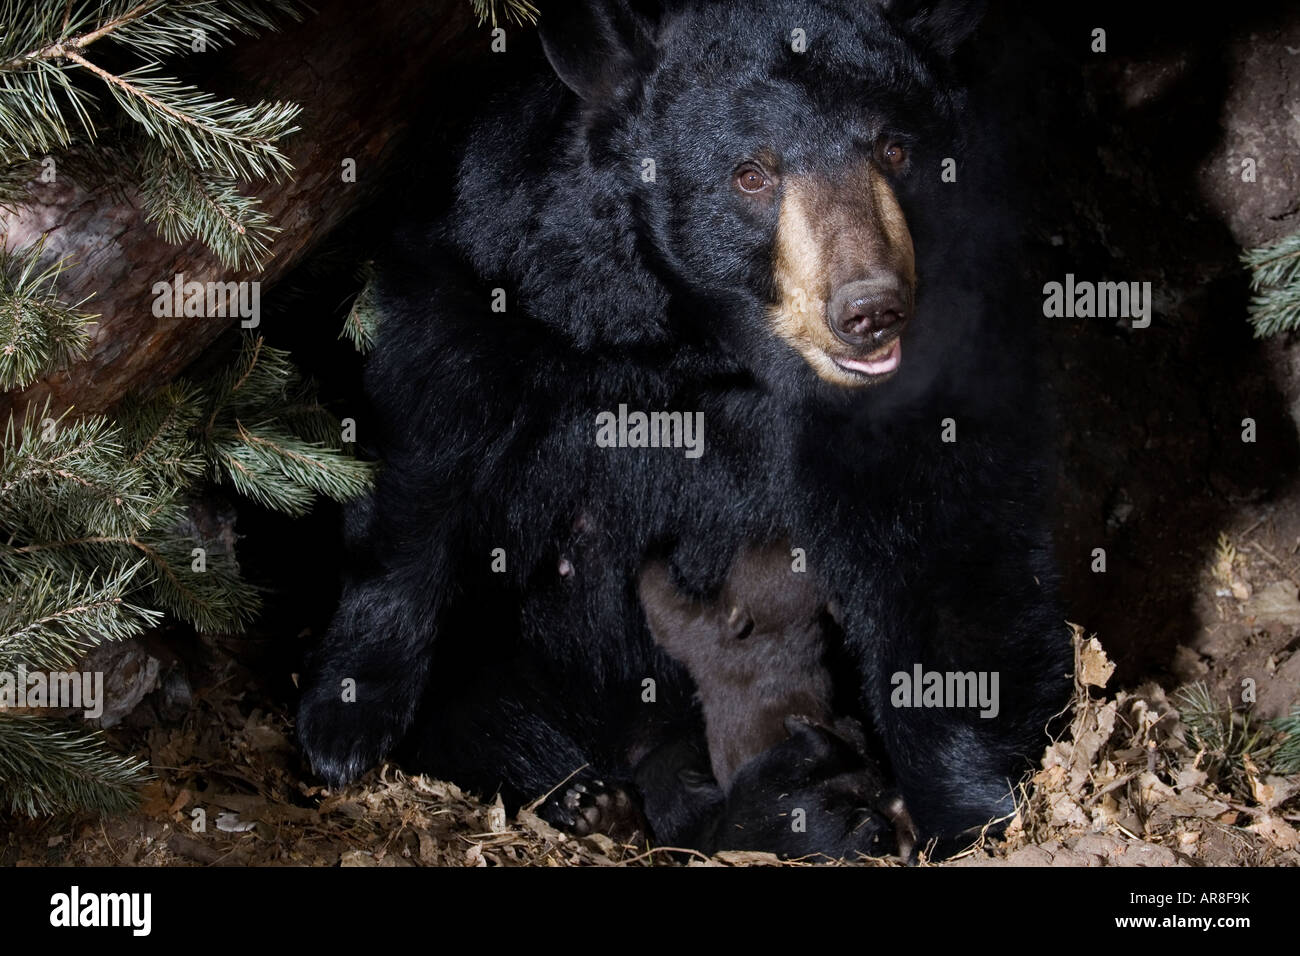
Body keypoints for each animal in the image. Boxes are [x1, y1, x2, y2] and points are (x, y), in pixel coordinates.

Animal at [296, 0, 1073, 859]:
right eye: (751, 174)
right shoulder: (494, 280)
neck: (699, 345)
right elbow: (422, 449)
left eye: (894, 149)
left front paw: (965, 809)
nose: (869, 308)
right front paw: (342, 726)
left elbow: (948, 554)